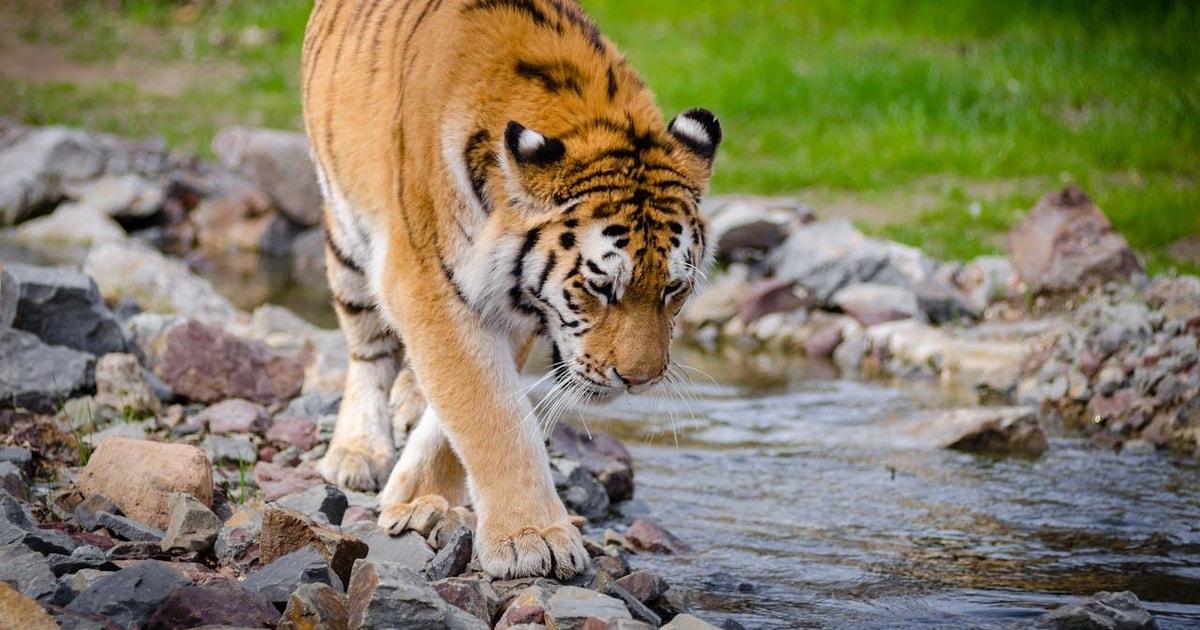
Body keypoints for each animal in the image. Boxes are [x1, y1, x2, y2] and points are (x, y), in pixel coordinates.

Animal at [301, 0, 721, 579]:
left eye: (674, 290)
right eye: (599, 288)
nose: (638, 381)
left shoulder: (517, 303)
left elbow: (466, 408)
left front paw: (423, 499)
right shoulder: (426, 280)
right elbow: (489, 411)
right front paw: (532, 539)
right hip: (345, 234)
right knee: (367, 350)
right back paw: (357, 451)